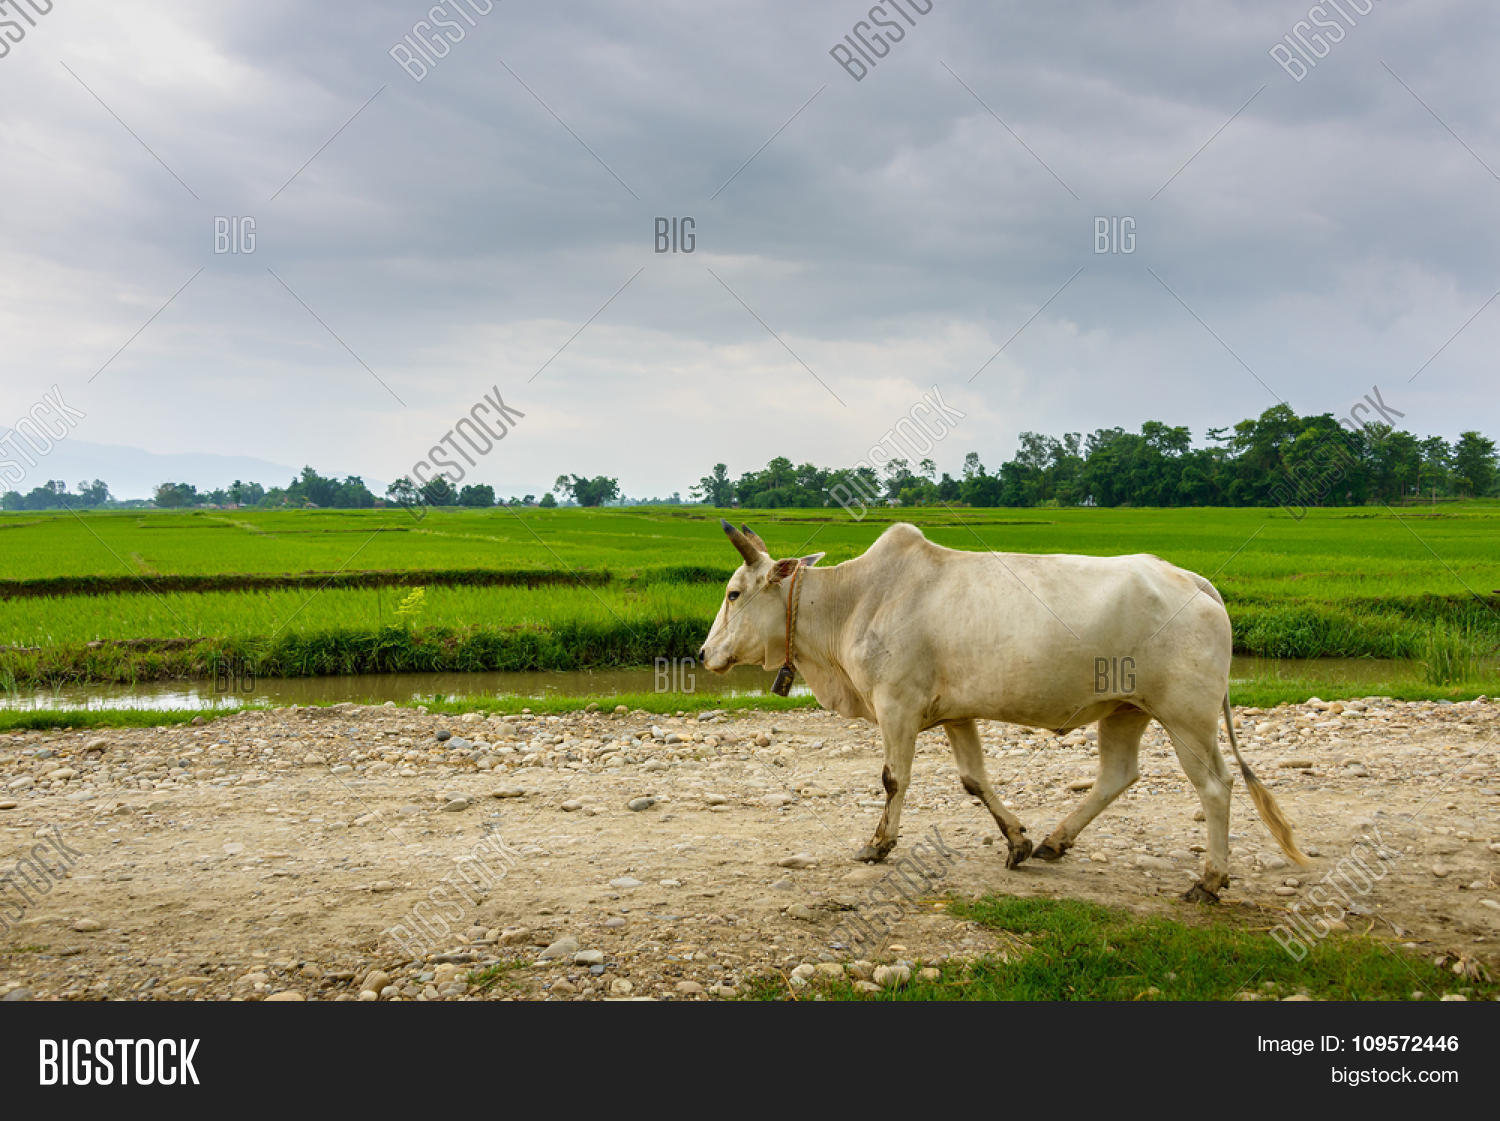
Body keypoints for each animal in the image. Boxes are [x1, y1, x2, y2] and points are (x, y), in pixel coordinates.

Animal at [698, 519, 1309, 902]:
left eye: (733, 593)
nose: (703, 655)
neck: (854, 600)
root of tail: (1195, 581)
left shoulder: (897, 706)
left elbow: (894, 779)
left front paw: (878, 845)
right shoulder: (954, 714)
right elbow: (975, 779)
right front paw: (1017, 841)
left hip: (1187, 715)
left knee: (1215, 786)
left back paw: (1210, 880)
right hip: (1126, 709)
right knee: (1117, 775)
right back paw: (1056, 841)